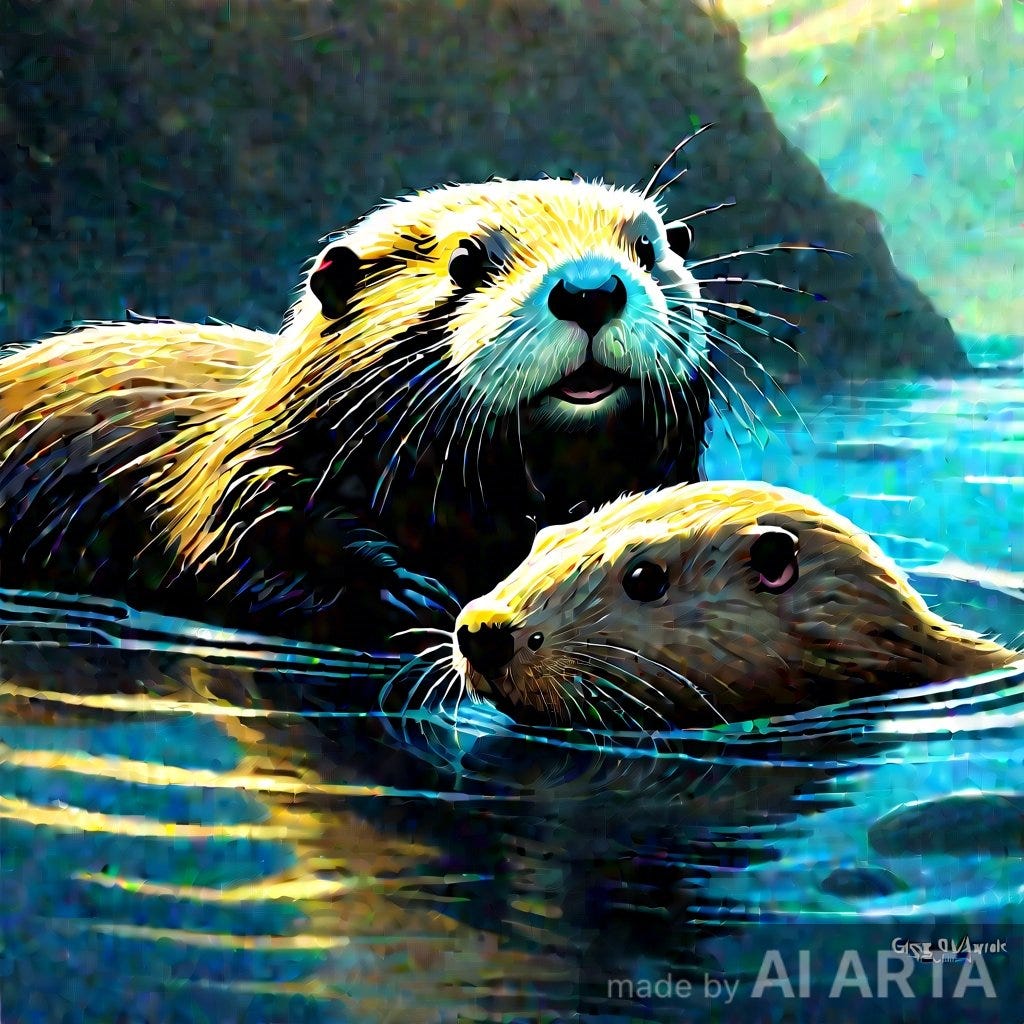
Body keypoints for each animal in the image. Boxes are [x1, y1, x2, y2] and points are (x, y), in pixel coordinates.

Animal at [0, 177, 715, 649]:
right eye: (465, 260)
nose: (590, 288)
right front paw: (405, 589)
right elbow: (242, 550)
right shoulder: (243, 481)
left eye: (647, 250)